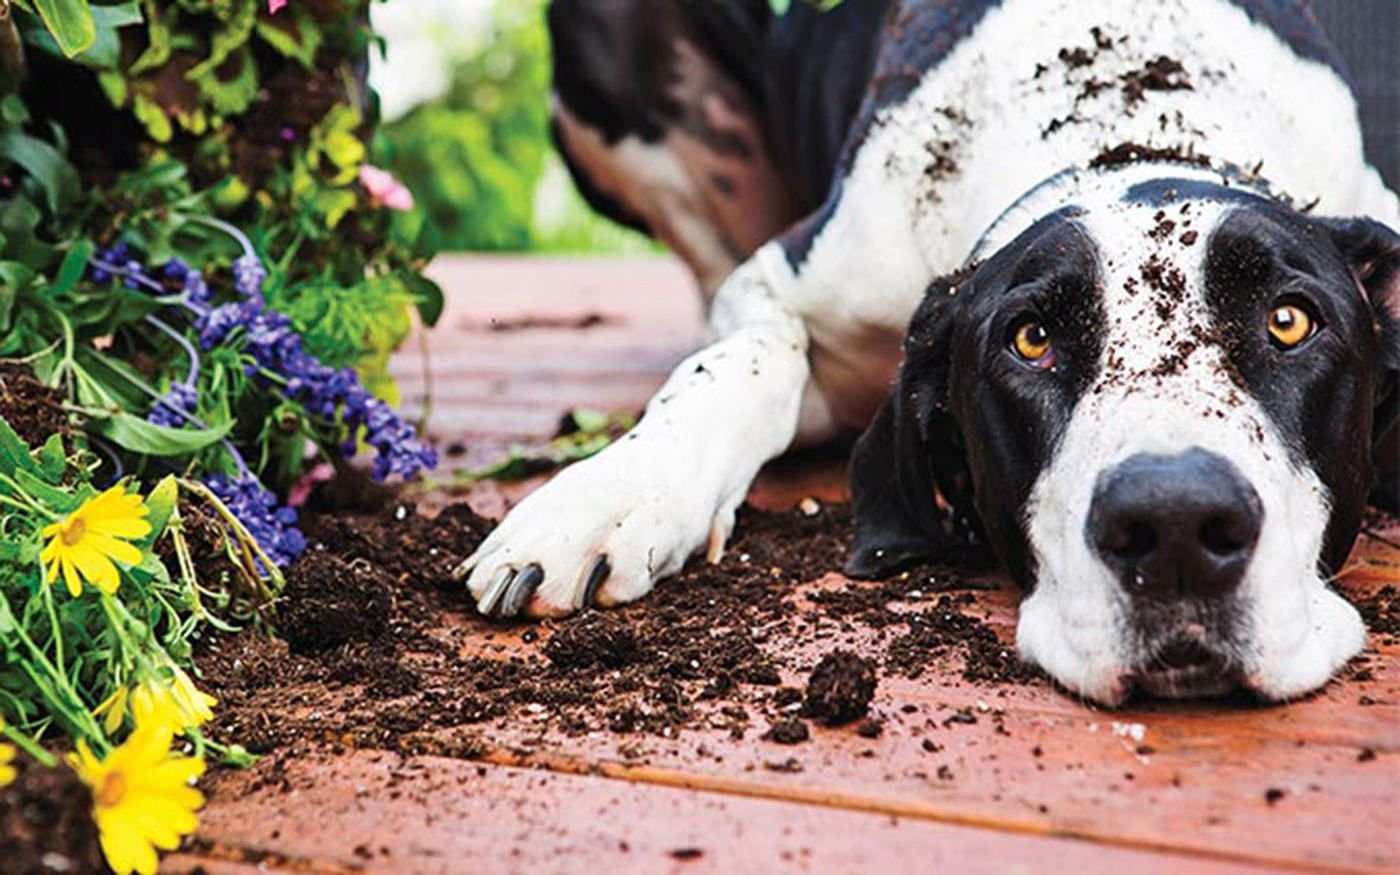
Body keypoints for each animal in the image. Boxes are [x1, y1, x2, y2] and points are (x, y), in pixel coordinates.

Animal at [459, 0, 1400, 702]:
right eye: (1031, 339)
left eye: (1290, 321)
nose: (1175, 525)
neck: (1131, 123)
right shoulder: (782, 283)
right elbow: (737, 366)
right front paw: (610, 496)